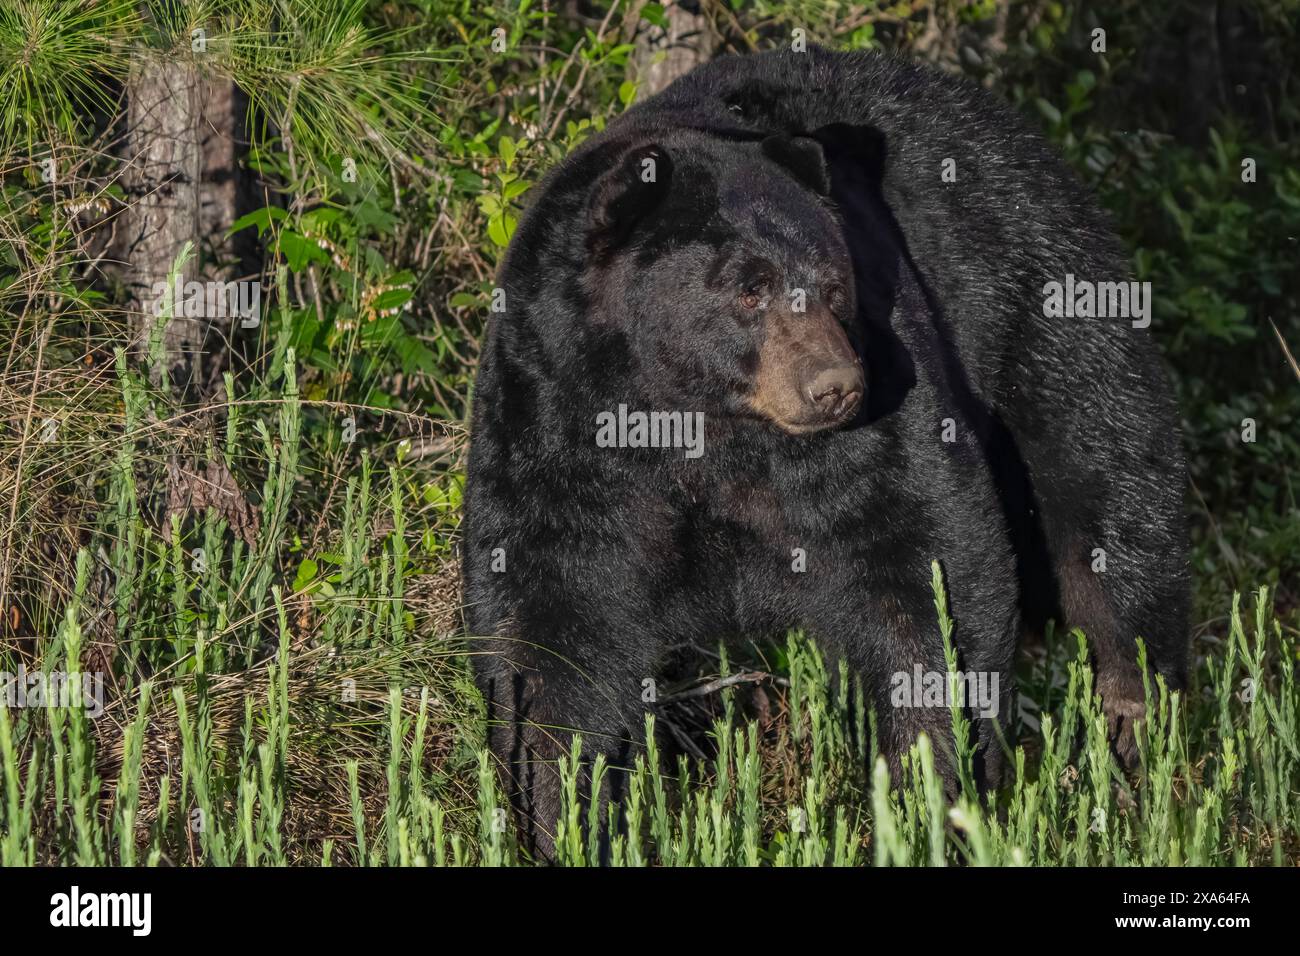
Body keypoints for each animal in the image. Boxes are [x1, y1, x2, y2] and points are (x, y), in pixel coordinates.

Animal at [462, 46, 1190, 859]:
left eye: (835, 285)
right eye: (749, 290)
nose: (835, 386)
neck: (700, 423)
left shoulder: (872, 418)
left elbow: (926, 564)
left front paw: (929, 794)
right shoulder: (555, 413)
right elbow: (556, 618)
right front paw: (557, 814)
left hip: (1043, 293)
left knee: (1110, 491)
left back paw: (1135, 737)